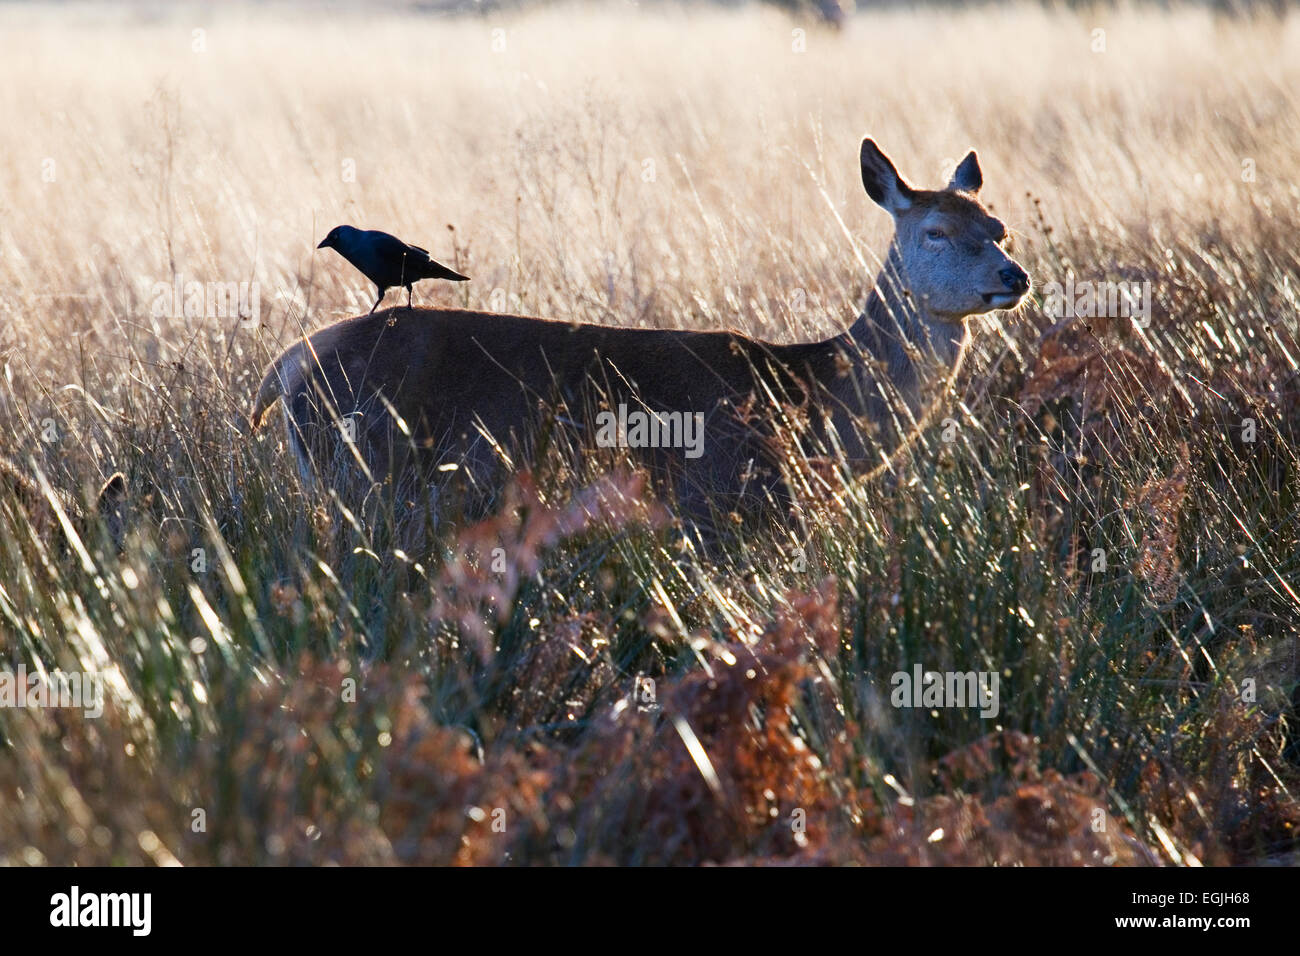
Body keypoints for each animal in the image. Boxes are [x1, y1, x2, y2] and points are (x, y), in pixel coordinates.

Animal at [250, 139, 1029, 534]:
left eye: (998, 225)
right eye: (935, 231)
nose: (1014, 275)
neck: (814, 405)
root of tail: (283, 367)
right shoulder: (721, 502)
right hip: (364, 474)